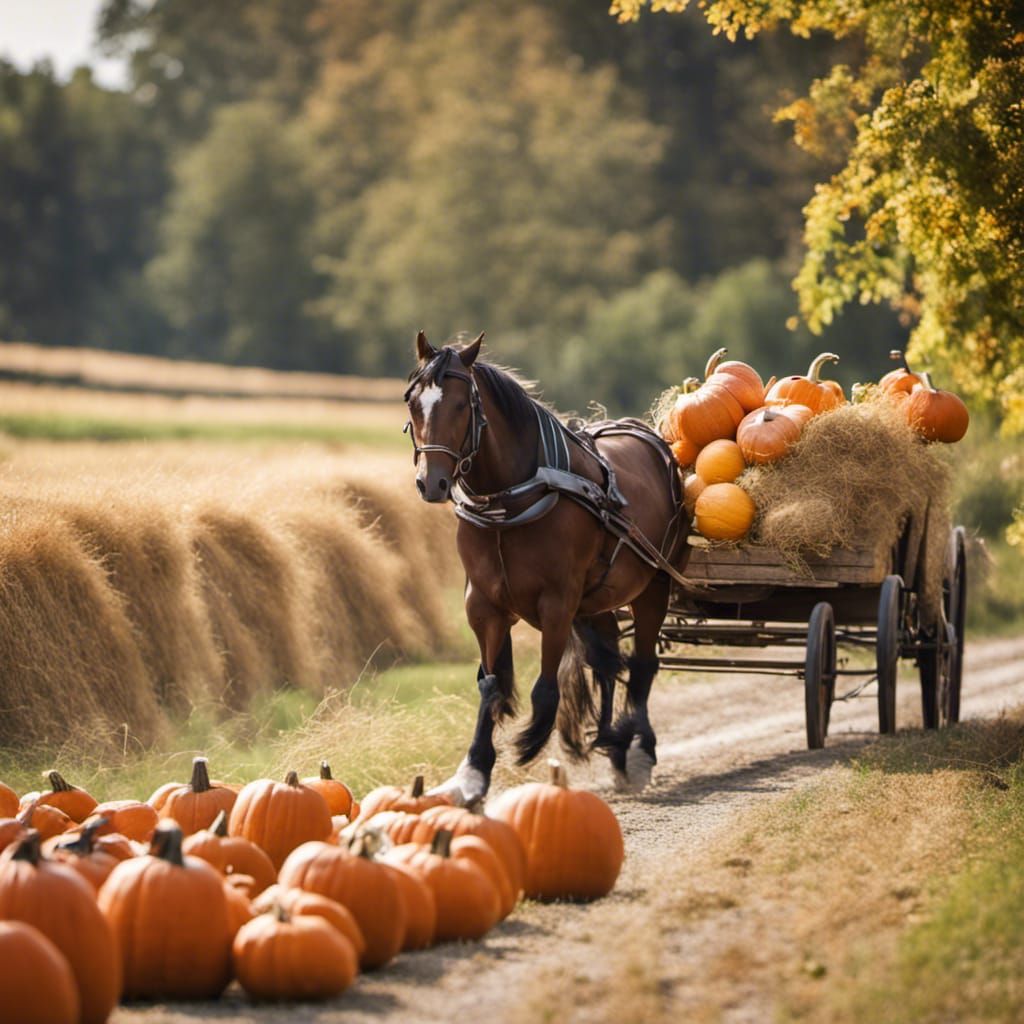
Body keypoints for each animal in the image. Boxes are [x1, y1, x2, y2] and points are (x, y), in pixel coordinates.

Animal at [404, 331, 690, 805]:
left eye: (462, 404)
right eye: (412, 402)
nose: (432, 482)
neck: (511, 500)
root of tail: (647, 435)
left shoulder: (558, 602)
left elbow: (545, 688)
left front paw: (532, 740)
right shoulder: (483, 605)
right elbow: (490, 685)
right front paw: (474, 770)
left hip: (655, 584)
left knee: (643, 664)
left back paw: (639, 746)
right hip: (598, 600)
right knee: (608, 661)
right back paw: (613, 740)